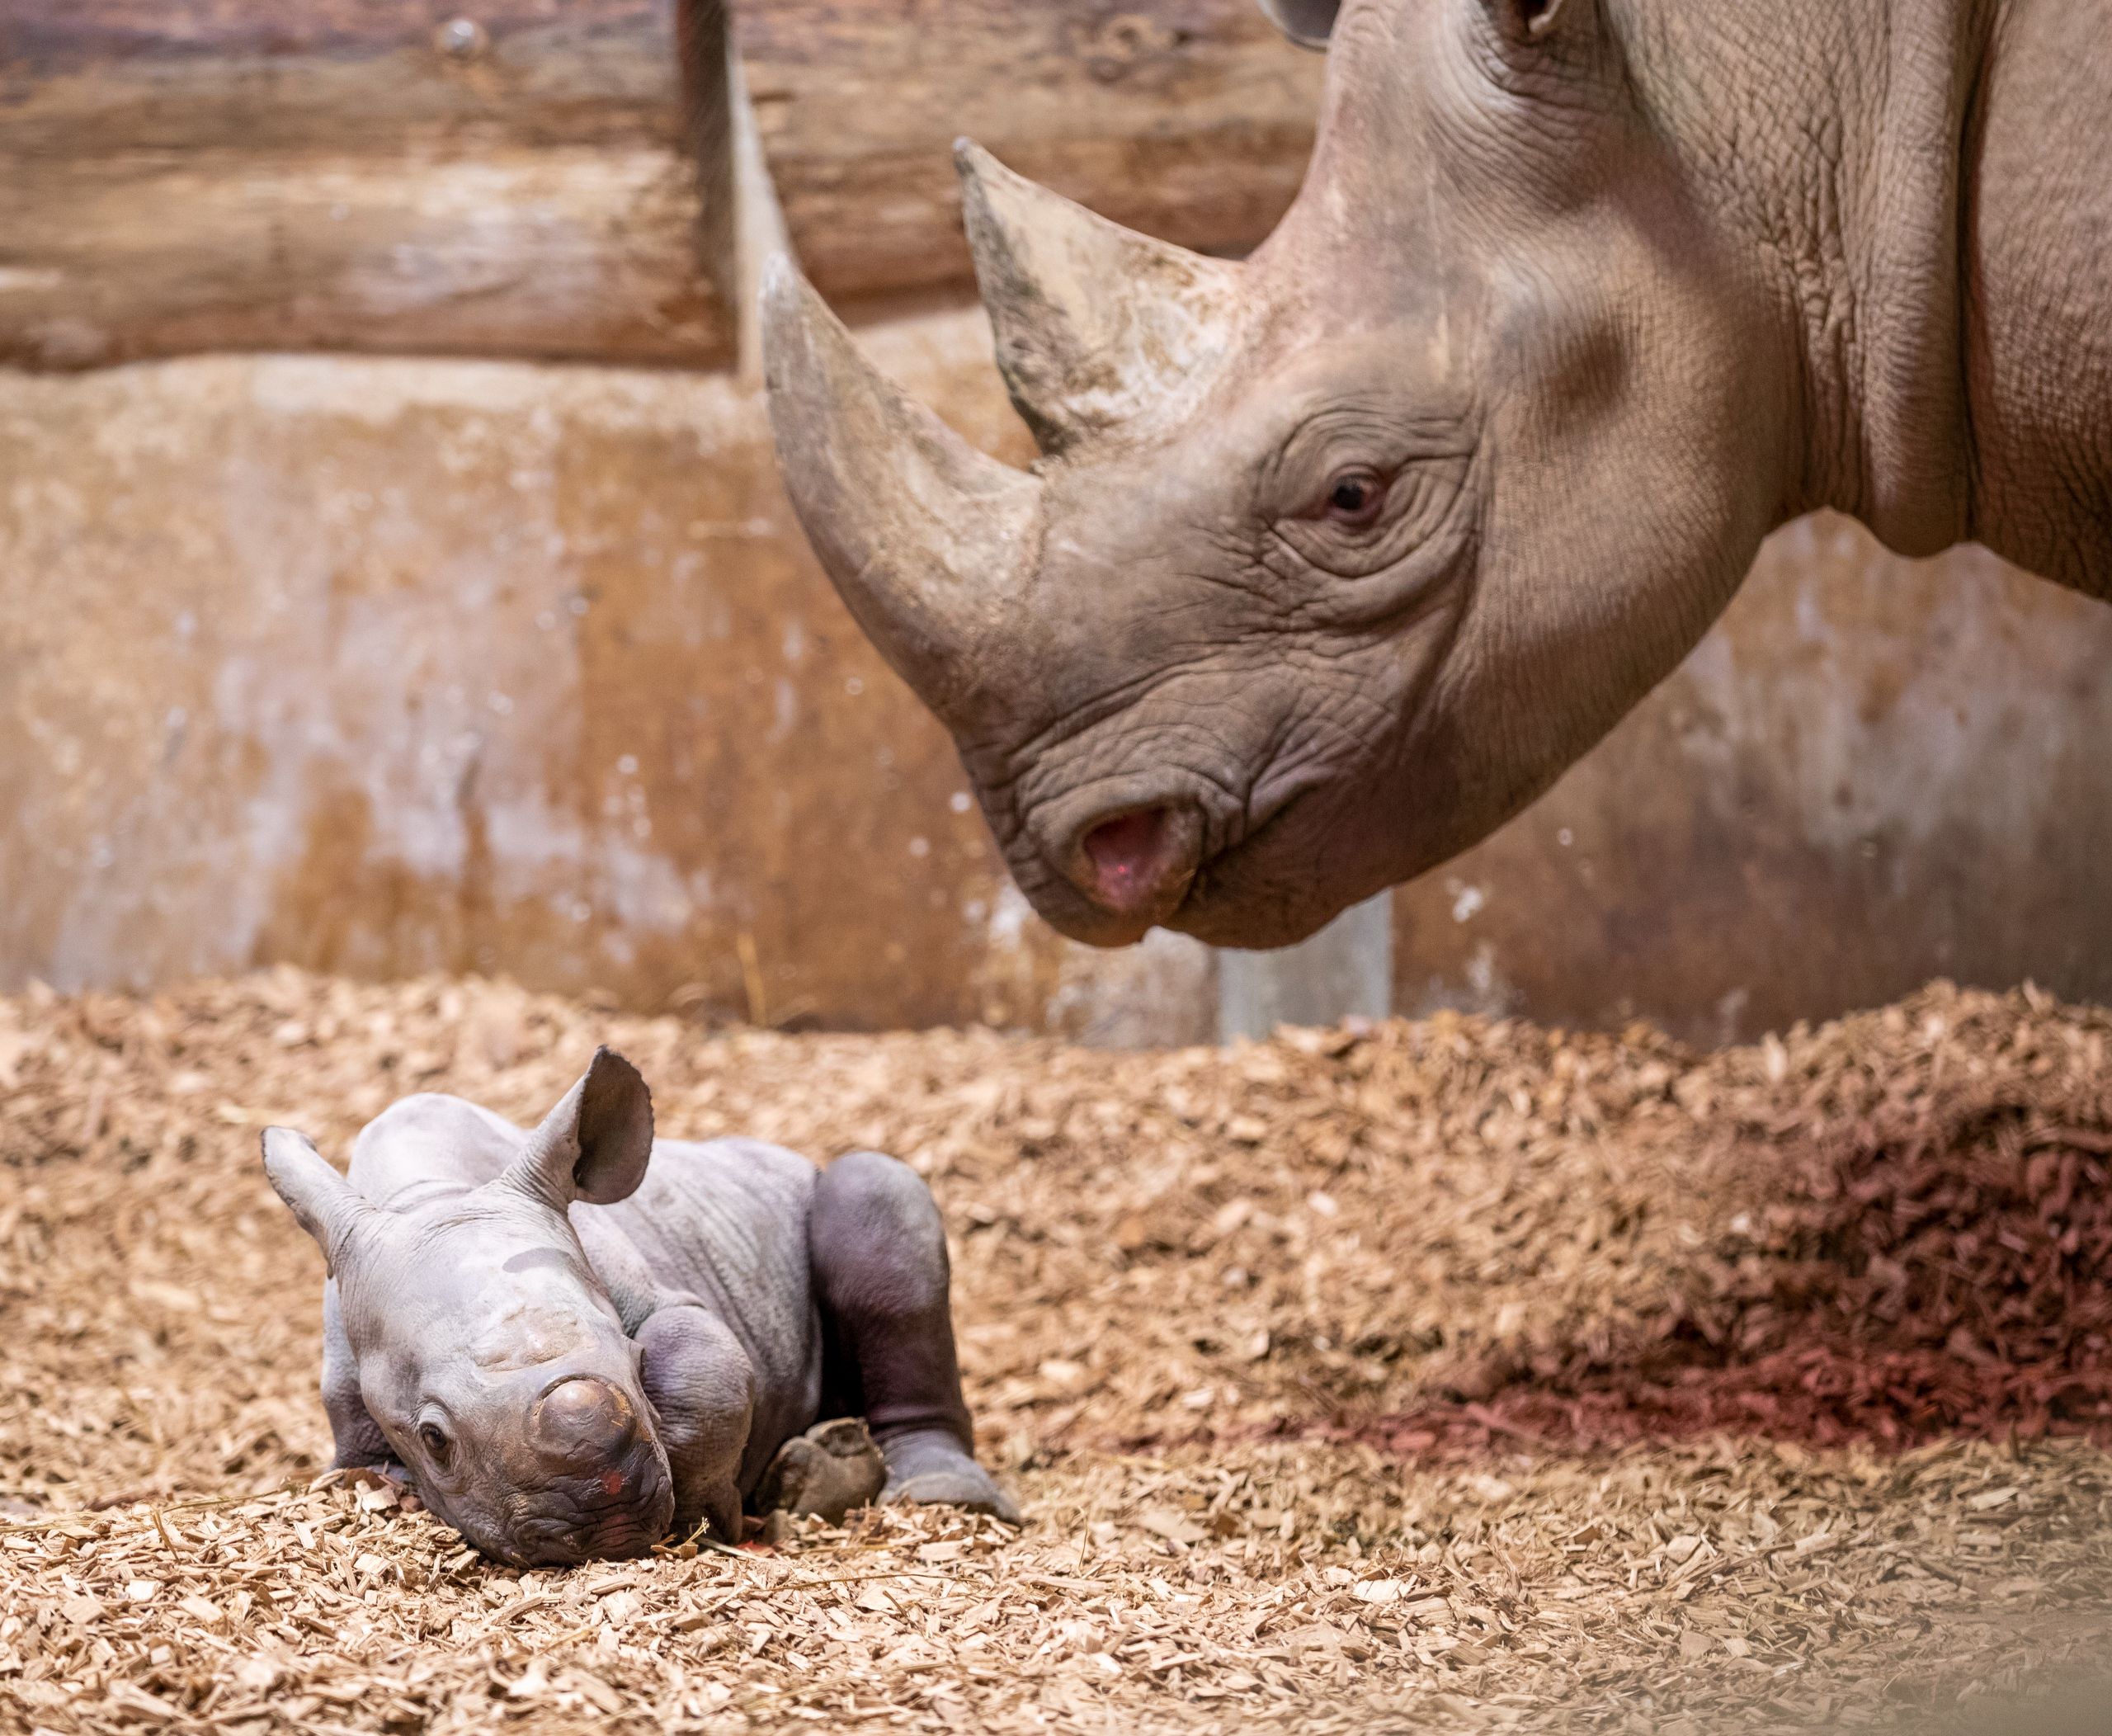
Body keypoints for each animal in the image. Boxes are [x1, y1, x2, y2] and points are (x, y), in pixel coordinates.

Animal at [261, 1049, 1014, 1565]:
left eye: (633, 1358)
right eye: (434, 1439)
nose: (606, 1522)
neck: (428, 1193)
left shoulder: (647, 1289)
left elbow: (705, 1365)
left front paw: (706, 1513)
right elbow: (359, 1458)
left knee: (876, 1195)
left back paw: (939, 1497)